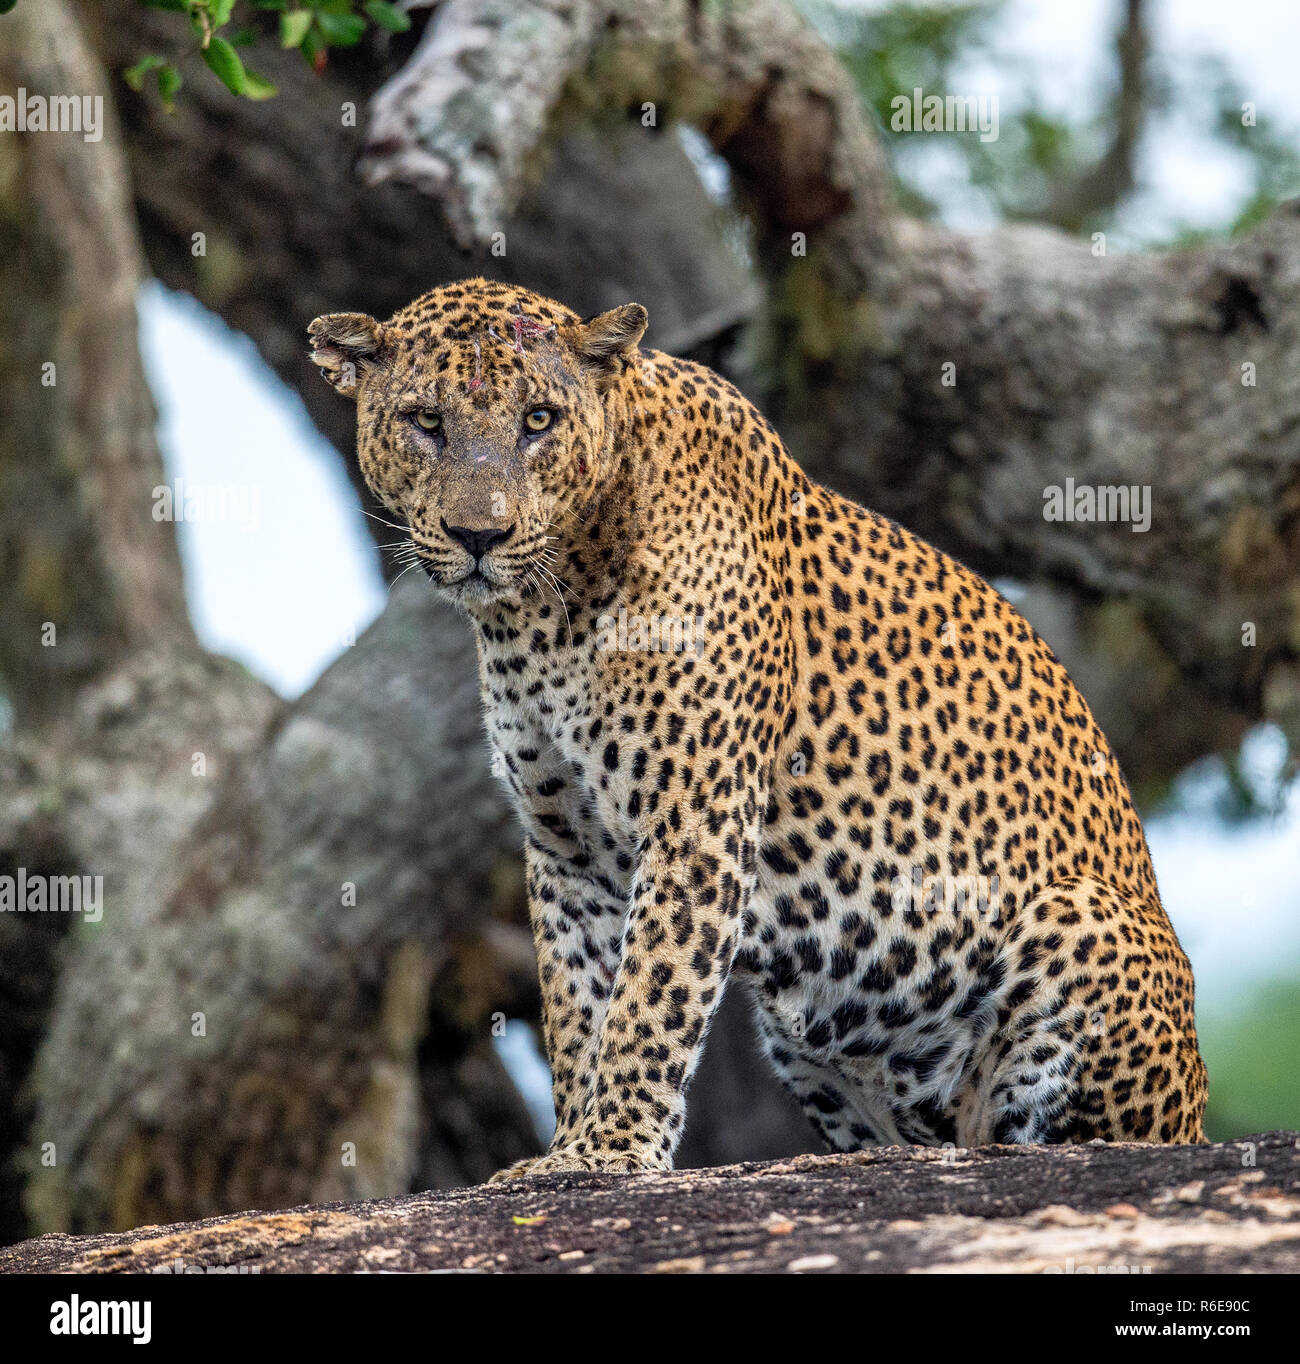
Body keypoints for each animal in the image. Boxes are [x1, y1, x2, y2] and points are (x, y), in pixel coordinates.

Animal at [309, 277, 1208, 1179]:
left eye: (538, 420)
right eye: (427, 420)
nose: (479, 536)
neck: (539, 620)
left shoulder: (695, 820)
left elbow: (650, 1002)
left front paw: (608, 1150)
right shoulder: (566, 851)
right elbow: (578, 1012)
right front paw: (567, 1147)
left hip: (1075, 922)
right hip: (807, 1047)